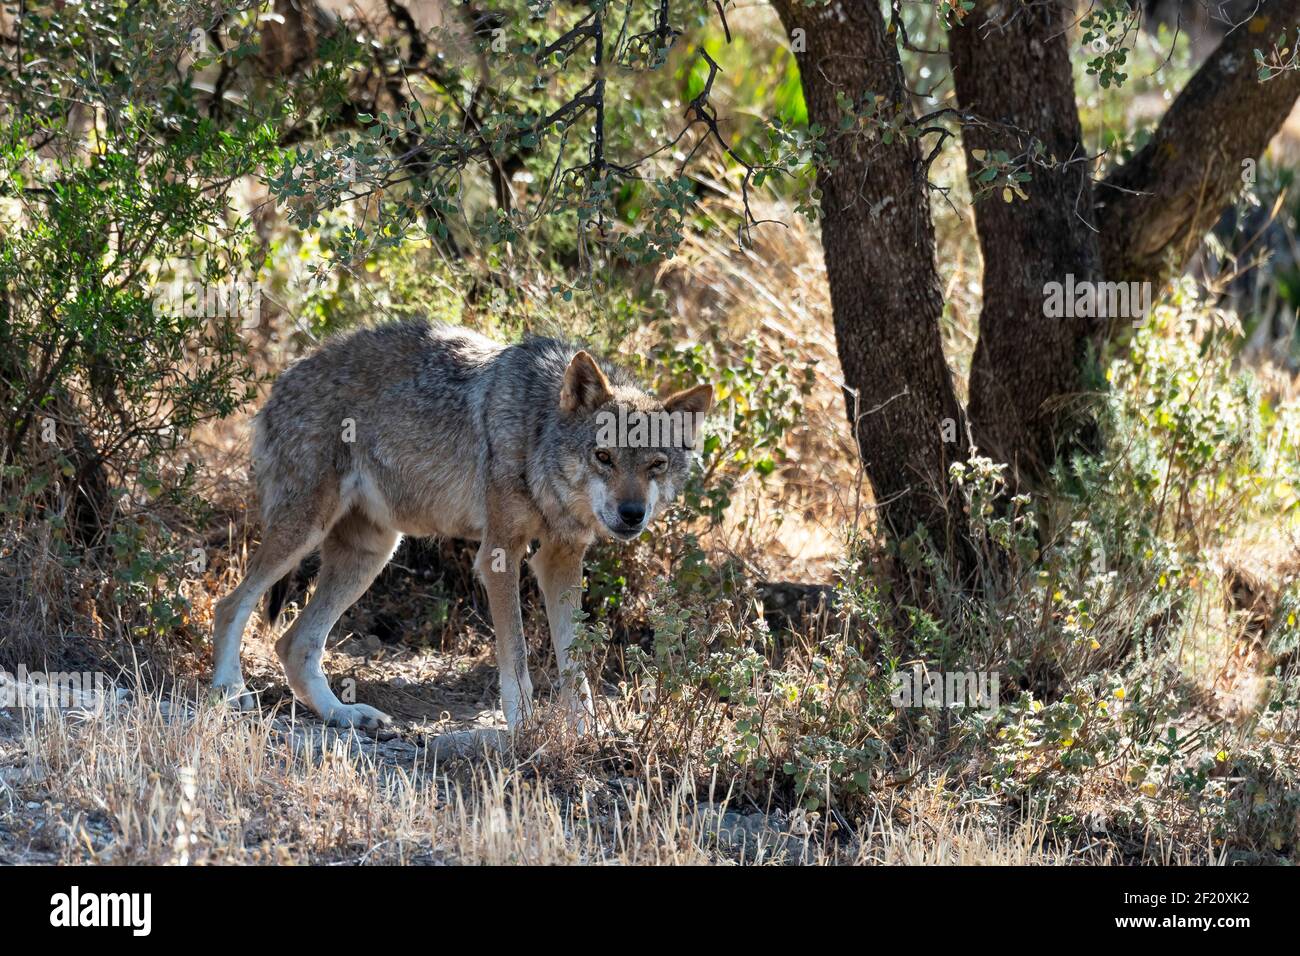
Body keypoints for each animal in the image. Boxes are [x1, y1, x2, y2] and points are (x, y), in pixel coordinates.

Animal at [211, 320, 713, 731]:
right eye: (603, 457)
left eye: (656, 465)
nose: (632, 514)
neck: (535, 428)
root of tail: (281, 379)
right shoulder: (499, 555)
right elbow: (518, 660)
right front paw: (525, 728)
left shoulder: (561, 559)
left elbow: (576, 665)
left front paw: (584, 734)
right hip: (306, 532)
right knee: (230, 605)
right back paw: (232, 691)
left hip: (371, 554)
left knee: (294, 644)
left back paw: (344, 713)